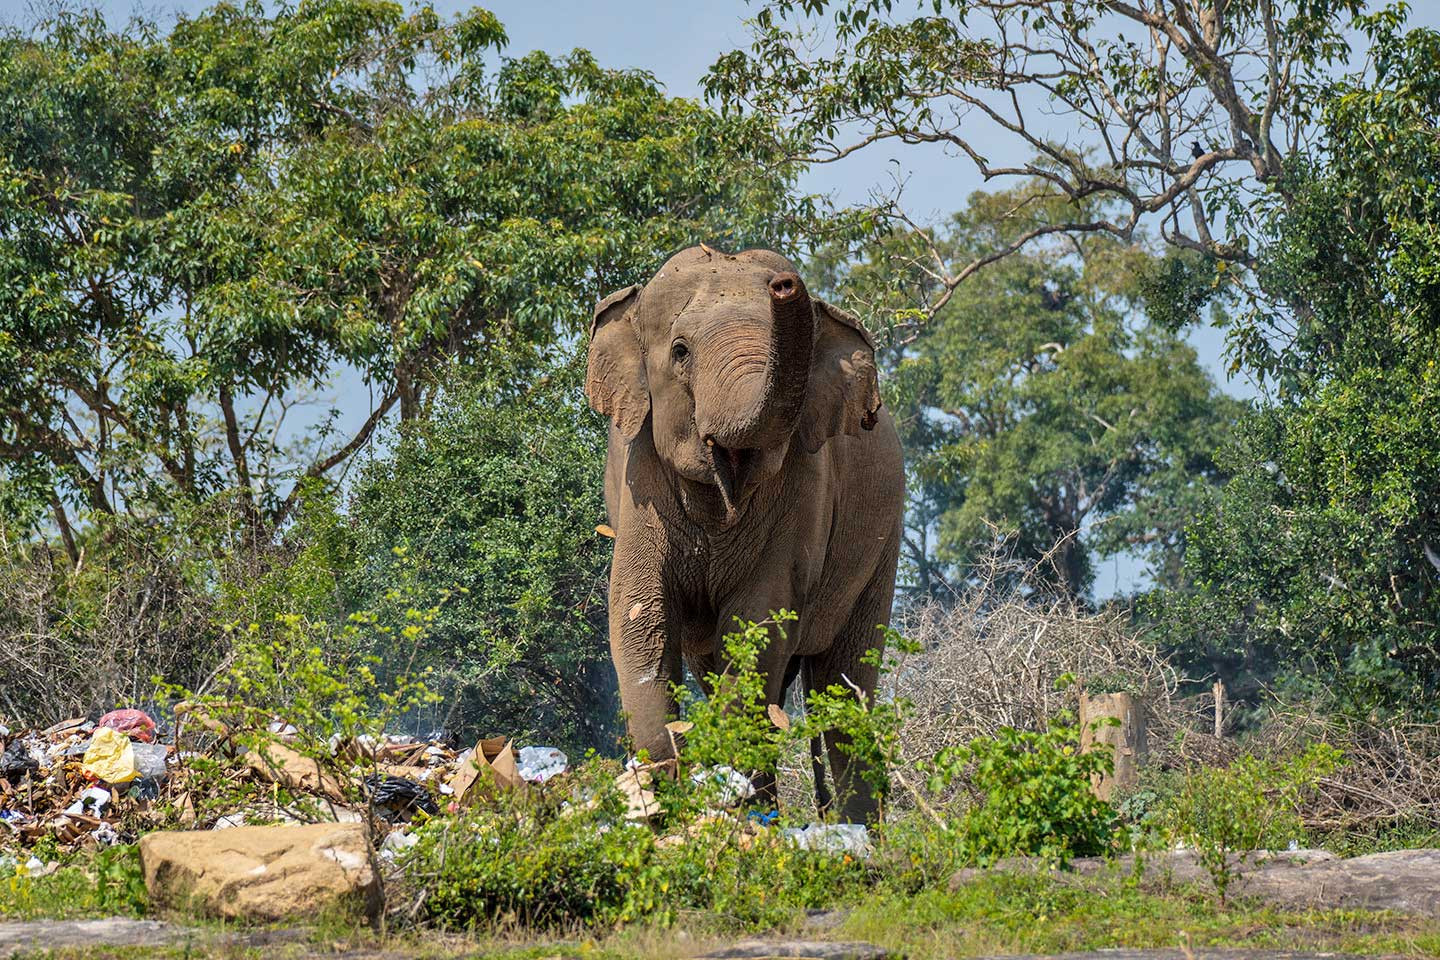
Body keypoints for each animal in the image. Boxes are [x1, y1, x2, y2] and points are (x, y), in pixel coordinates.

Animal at [585, 245, 904, 822]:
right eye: (681, 351)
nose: (785, 285)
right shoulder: (639, 477)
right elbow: (639, 617)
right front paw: (662, 799)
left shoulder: (804, 486)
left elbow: (758, 623)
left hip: (883, 535)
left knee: (844, 688)